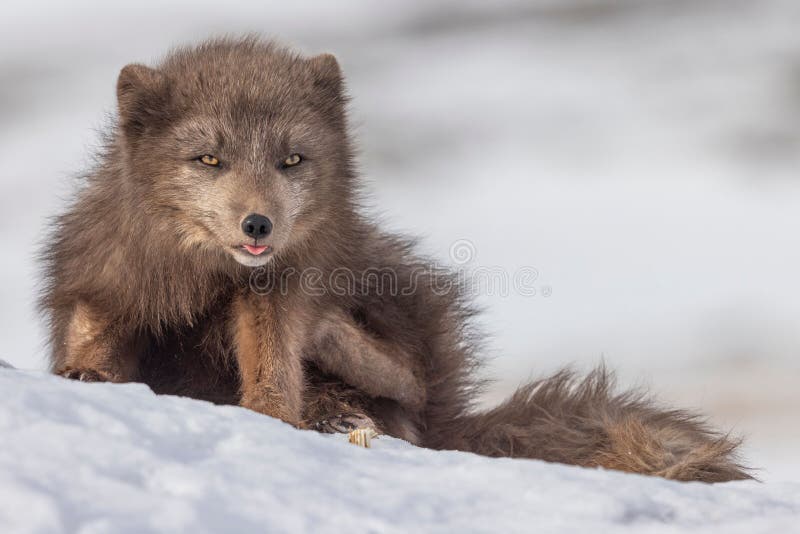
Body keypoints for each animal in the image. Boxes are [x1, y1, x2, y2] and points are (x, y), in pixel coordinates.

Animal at [40, 37, 749, 483]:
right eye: (208, 159)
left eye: (291, 159)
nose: (259, 224)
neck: (203, 278)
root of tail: (447, 419)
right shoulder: (104, 282)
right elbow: (93, 338)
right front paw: (83, 375)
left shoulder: (274, 295)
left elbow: (271, 368)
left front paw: (272, 415)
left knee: (398, 384)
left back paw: (338, 400)